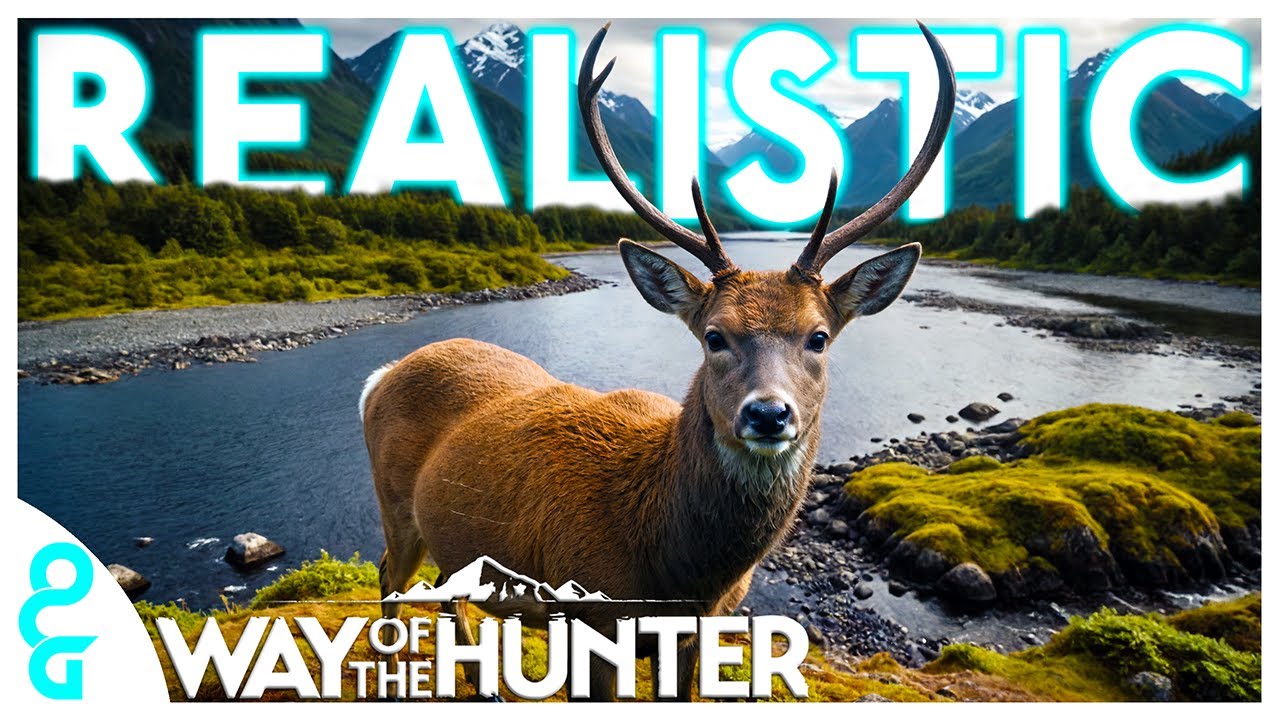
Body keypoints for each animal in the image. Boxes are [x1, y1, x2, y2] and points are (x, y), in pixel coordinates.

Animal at [361, 21, 954, 701]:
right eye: (714, 336)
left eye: (820, 337)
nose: (769, 414)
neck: (678, 573)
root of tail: (380, 376)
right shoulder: (584, 616)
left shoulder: (704, 626)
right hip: (394, 505)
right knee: (388, 576)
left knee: (446, 595)